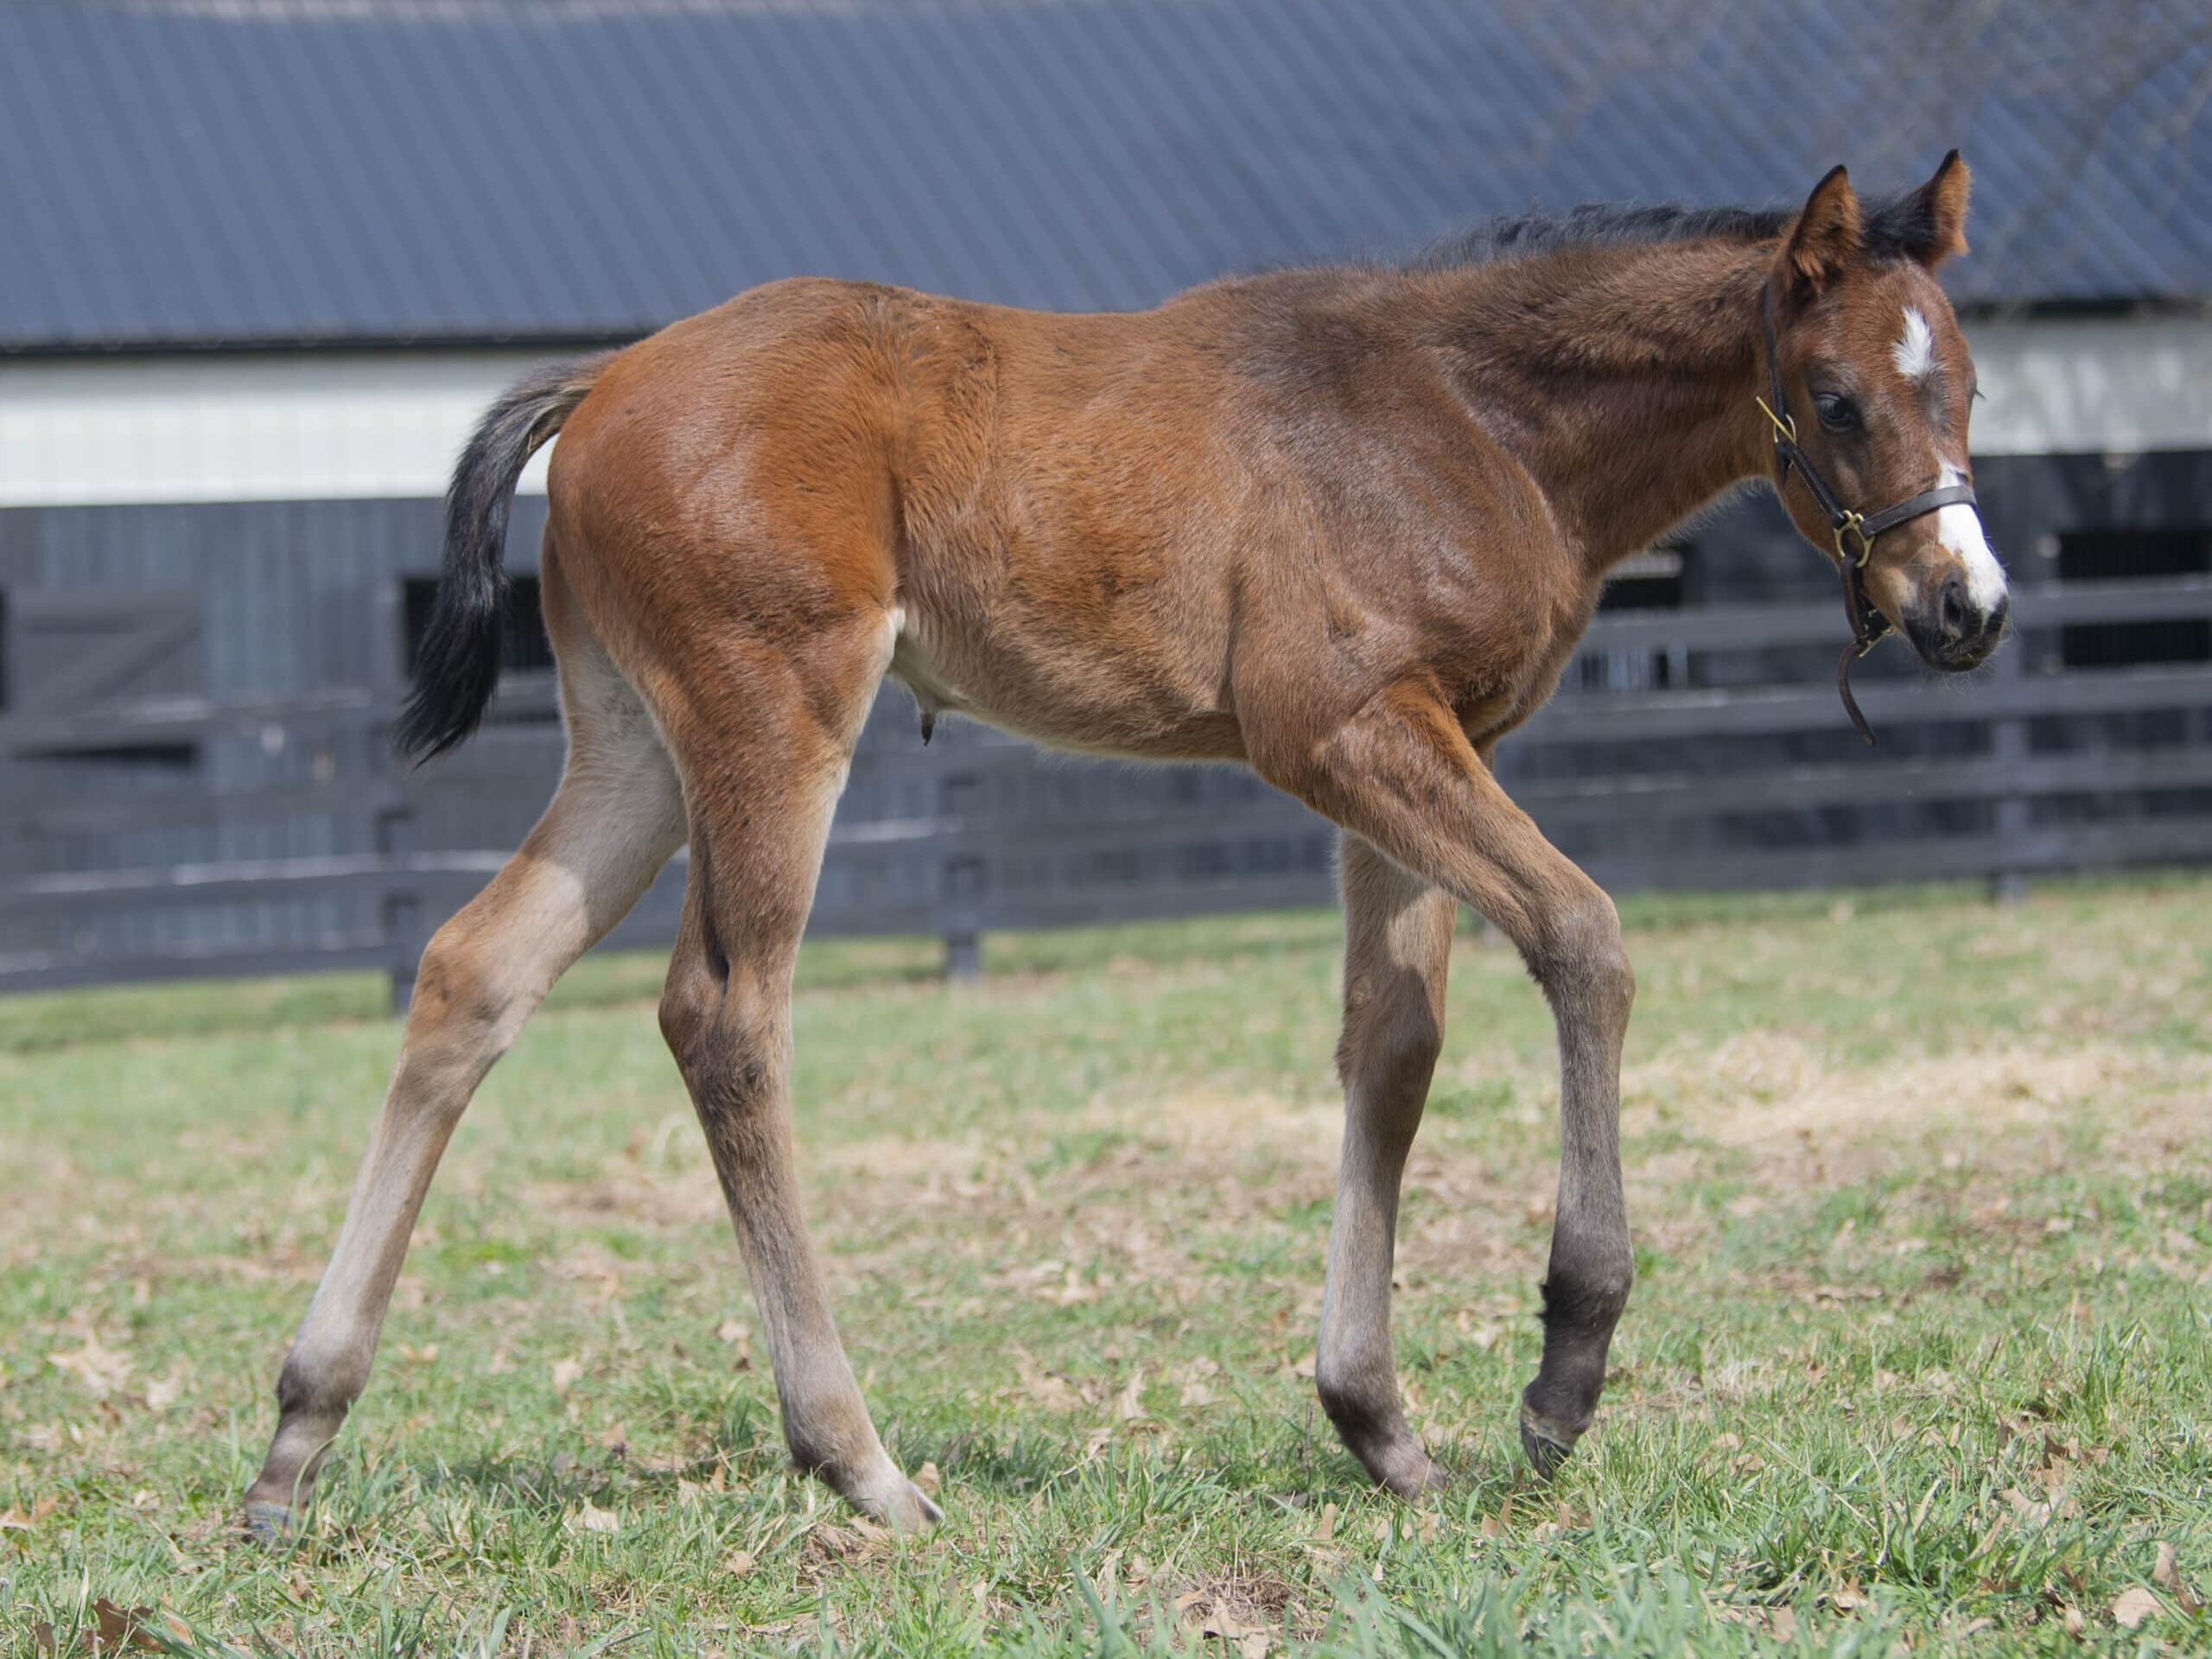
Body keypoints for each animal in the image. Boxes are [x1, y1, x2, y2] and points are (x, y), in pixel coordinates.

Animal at [244, 154, 2006, 1535]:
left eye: (1969, 388)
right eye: (1838, 400)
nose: (1966, 607)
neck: (1471, 416)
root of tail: (606, 380)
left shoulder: (1433, 741)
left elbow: (1394, 1042)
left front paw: (1378, 1423)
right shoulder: (1342, 731)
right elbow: (1584, 935)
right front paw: (1564, 1367)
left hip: (628, 748)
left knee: (473, 972)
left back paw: (297, 1434)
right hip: (770, 720)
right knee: (725, 1016)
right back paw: (858, 1459)